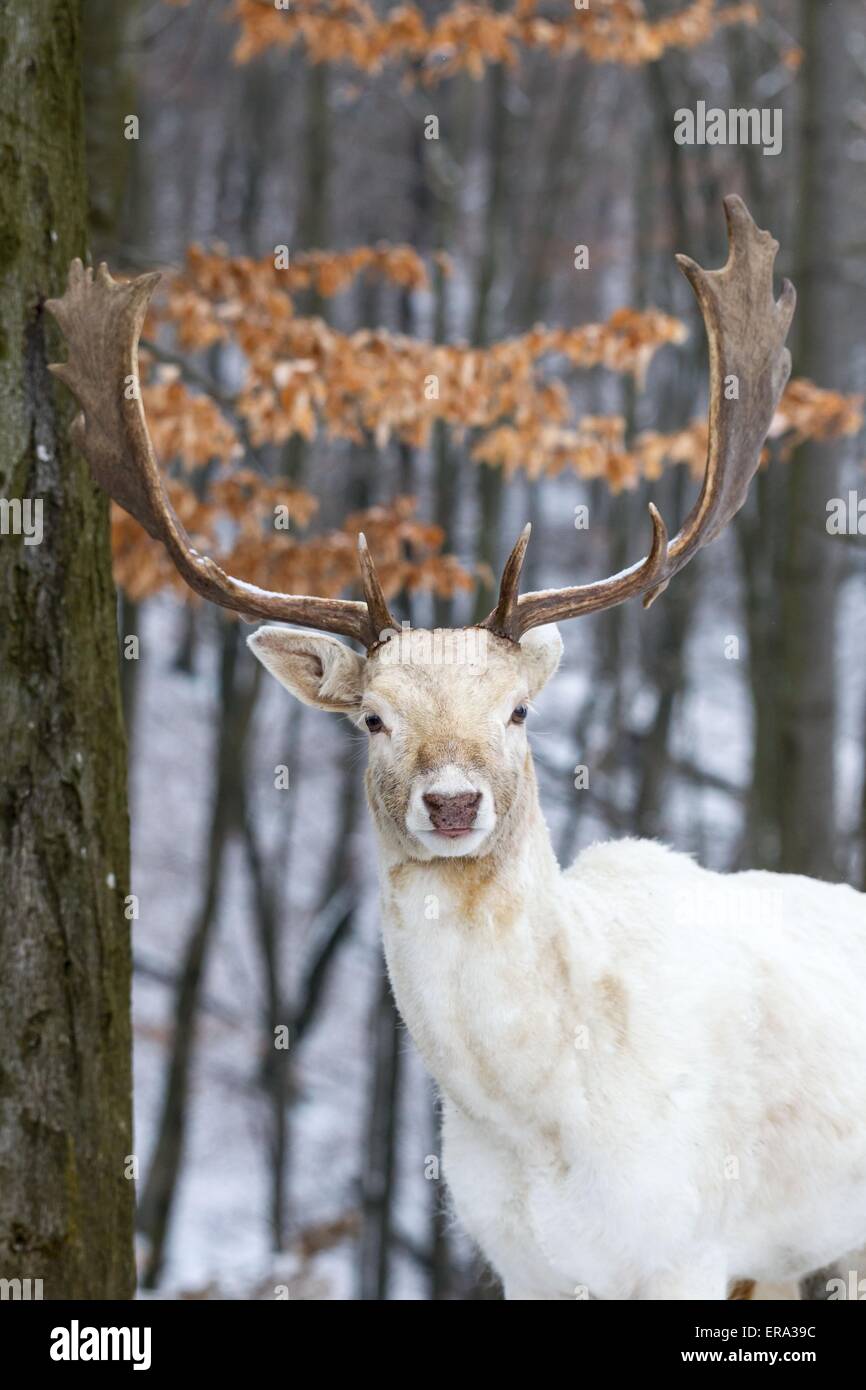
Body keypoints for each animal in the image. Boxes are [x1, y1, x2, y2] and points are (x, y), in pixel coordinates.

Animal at [47, 197, 866, 1301]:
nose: (450, 802)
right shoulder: (522, 1263)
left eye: (517, 711)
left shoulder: (688, 1248)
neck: (541, 1124)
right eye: (372, 718)